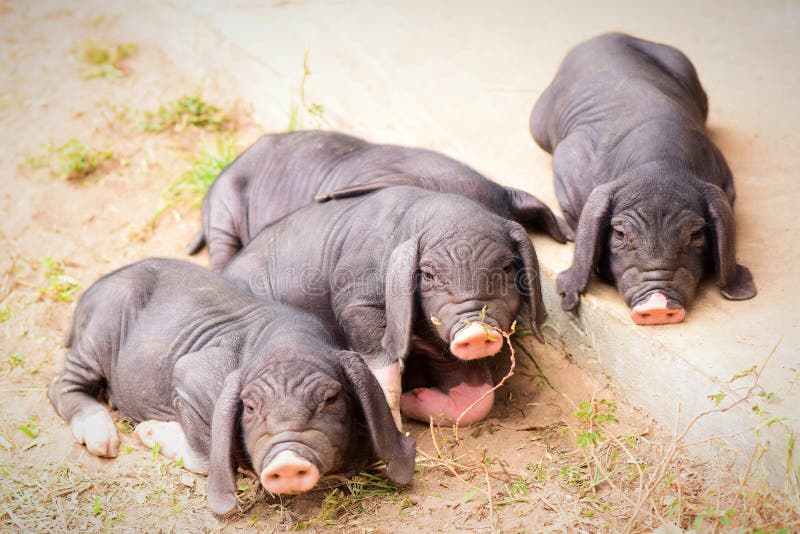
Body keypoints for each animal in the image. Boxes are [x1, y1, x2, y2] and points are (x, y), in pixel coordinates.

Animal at [47, 258, 415, 516]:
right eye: (250, 407)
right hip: (100, 333)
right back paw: (104, 443)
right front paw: (145, 433)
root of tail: (91, 292)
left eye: (331, 398)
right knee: (59, 385)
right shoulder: (189, 378)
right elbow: (206, 453)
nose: (287, 459)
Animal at [221, 186, 546, 428]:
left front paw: (414, 398)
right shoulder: (354, 299)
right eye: (429, 275)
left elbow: (479, 397)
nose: (476, 331)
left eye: (506, 268)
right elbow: (382, 368)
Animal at [530, 32, 756, 324]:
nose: (657, 305)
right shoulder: (569, 165)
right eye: (620, 233)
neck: (658, 164)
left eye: (696, 234)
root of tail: (605, 35)